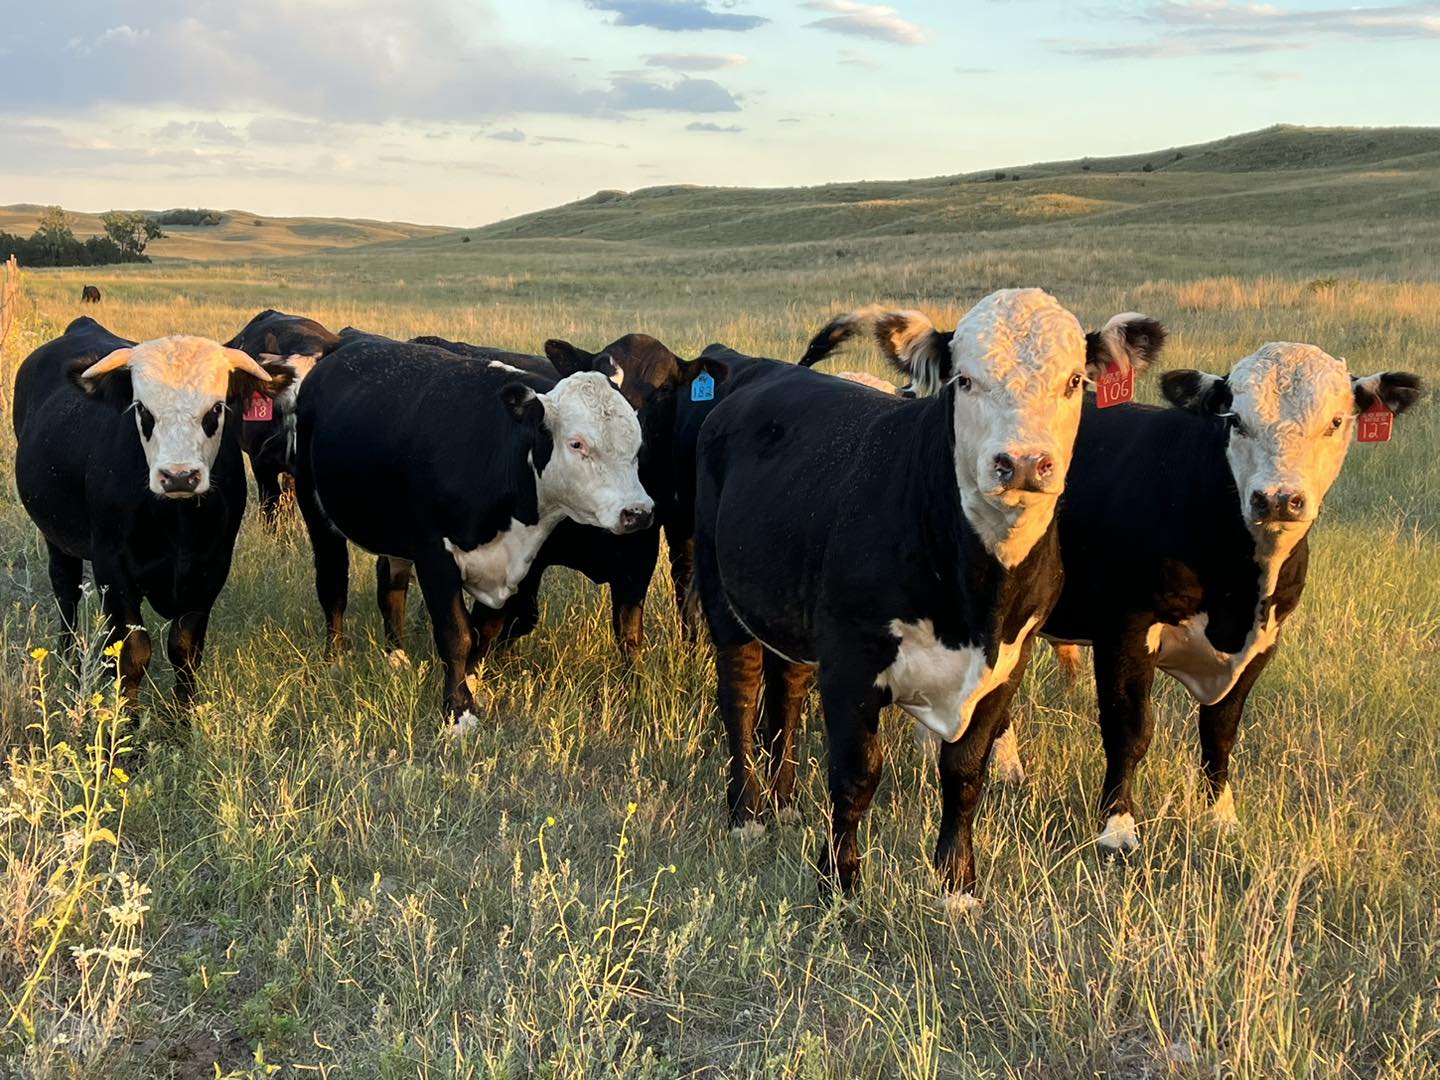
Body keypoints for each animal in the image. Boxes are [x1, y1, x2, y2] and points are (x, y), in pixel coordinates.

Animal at [13, 317, 290, 711]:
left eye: (216, 409)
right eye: (142, 410)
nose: (179, 476)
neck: (176, 523)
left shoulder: (212, 567)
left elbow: (185, 649)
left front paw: (182, 719)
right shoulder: (112, 568)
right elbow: (133, 654)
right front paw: (128, 723)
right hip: (57, 539)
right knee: (65, 592)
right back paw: (69, 665)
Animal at [292, 335, 654, 729]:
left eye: (638, 444)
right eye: (577, 443)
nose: (638, 512)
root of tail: (343, 345)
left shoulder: (517, 566)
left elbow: (487, 629)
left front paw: (473, 685)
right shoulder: (434, 554)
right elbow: (457, 634)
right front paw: (459, 710)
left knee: (391, 588)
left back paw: (396, 656)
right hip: (315, 510)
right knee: (332, 586)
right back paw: (336, 658)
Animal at [694, 289, 1161, 904]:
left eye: (1074, 381)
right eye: (964, 380)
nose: (1023, 462)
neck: (978, 598)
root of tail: (760, 368)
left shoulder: (1009, 662)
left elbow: (965, 771)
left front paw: (957, 884)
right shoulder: (851, 658)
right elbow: (856, 773)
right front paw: (838, 881)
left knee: (788, 692)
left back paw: (785, 804)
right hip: (722, 597)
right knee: (741, 697)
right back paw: (747, 814)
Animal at [807, 315, 1421, 853]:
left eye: (1336, 423)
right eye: (1236, 421)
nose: (1277, 498)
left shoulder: (1262, 642)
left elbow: (1221, 731)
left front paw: (1222, 819)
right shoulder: (1127, 627)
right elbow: (1130, 728)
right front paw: (1118, 828)